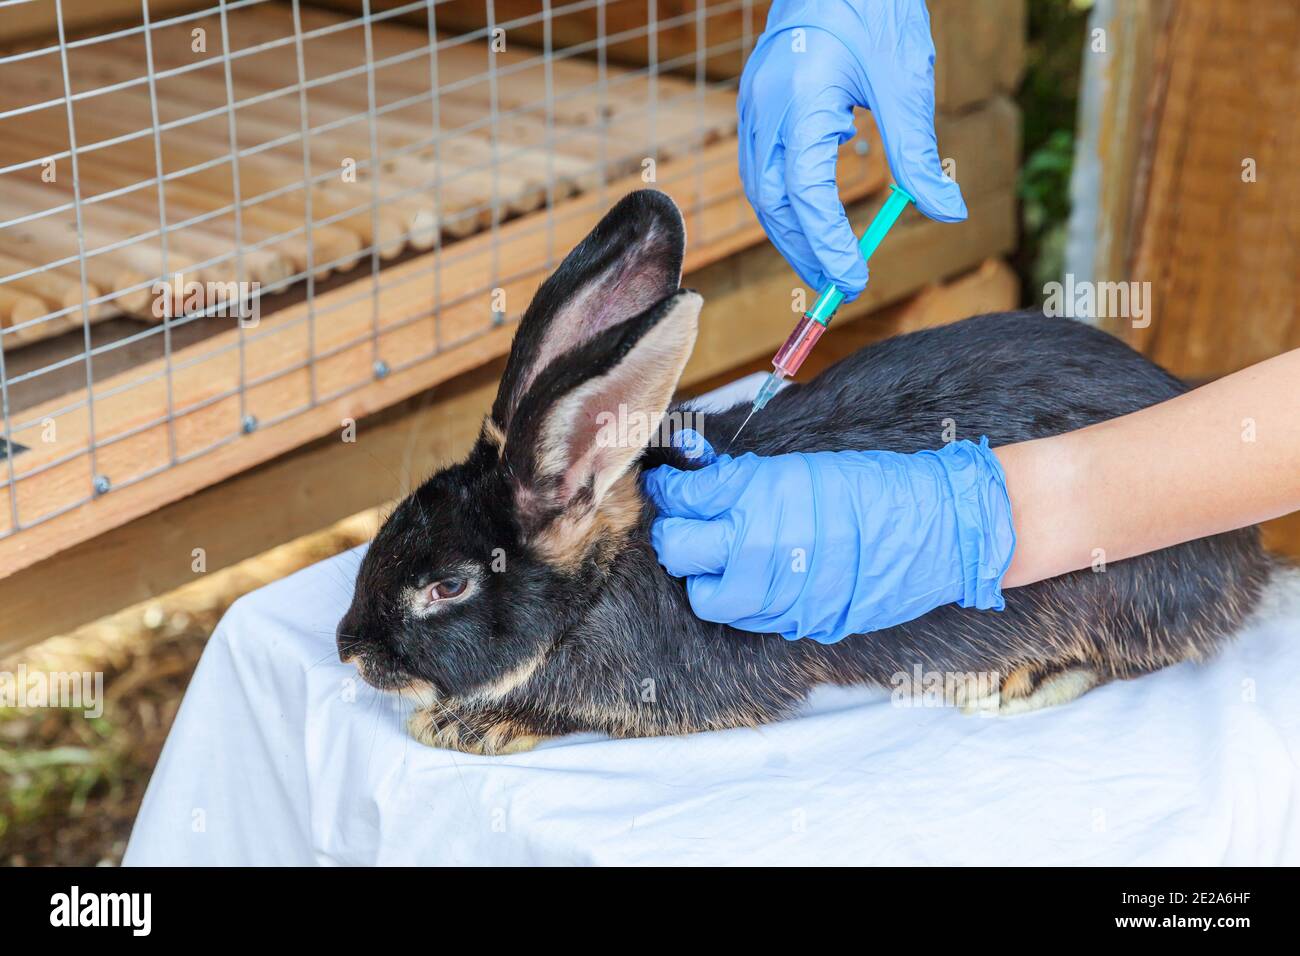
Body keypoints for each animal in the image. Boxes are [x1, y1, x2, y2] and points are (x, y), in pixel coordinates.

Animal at [337, 189, 1274, 755]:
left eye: (450, 587)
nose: (348, 652)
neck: (603, 574)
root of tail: (1252, 557)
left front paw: (462, 725)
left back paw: (1019, 681)